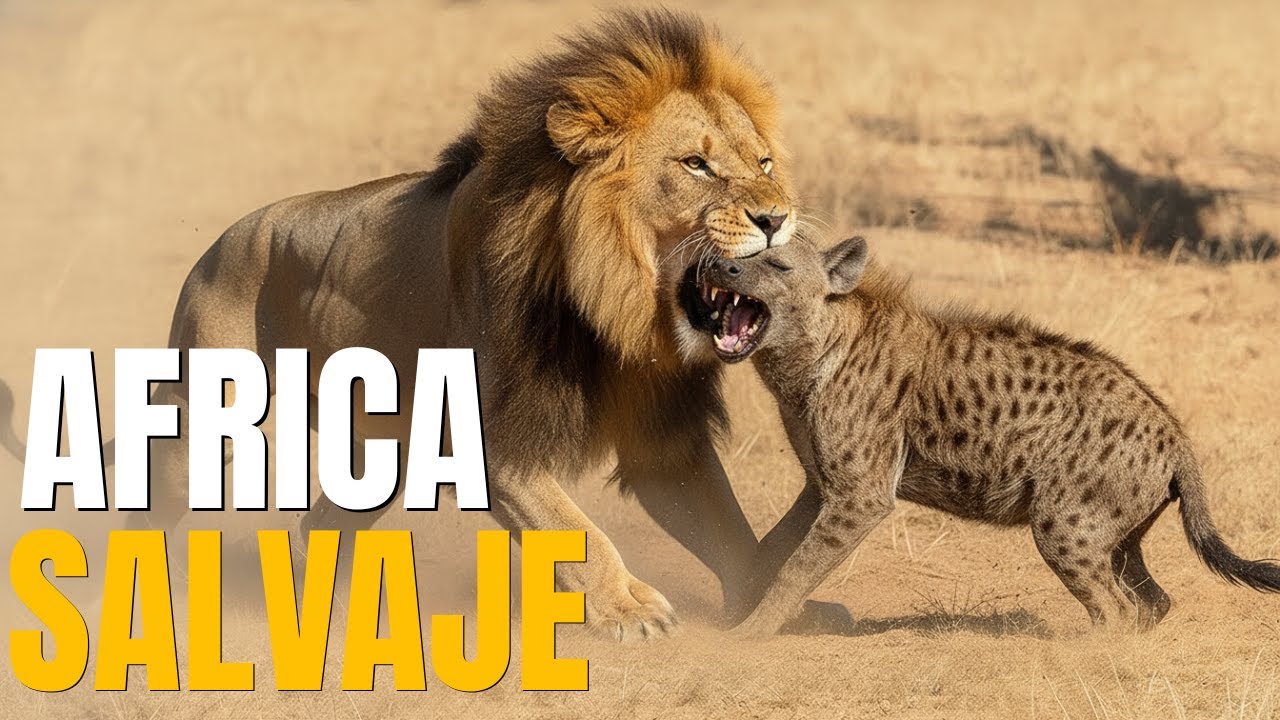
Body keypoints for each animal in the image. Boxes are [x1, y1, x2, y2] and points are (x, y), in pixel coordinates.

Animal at [0, 10, 831, 640]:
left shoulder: (661, 440)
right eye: (695, 165)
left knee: (316, 528)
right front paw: (629, 610)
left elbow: (727, 530)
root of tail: (221, 241)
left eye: (763, 162)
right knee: (151, 518)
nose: (776, 217)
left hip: (383, 450)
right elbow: (582, 534)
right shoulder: (495, 444)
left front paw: (773, 602)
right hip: (205, 422)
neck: (618, 305)